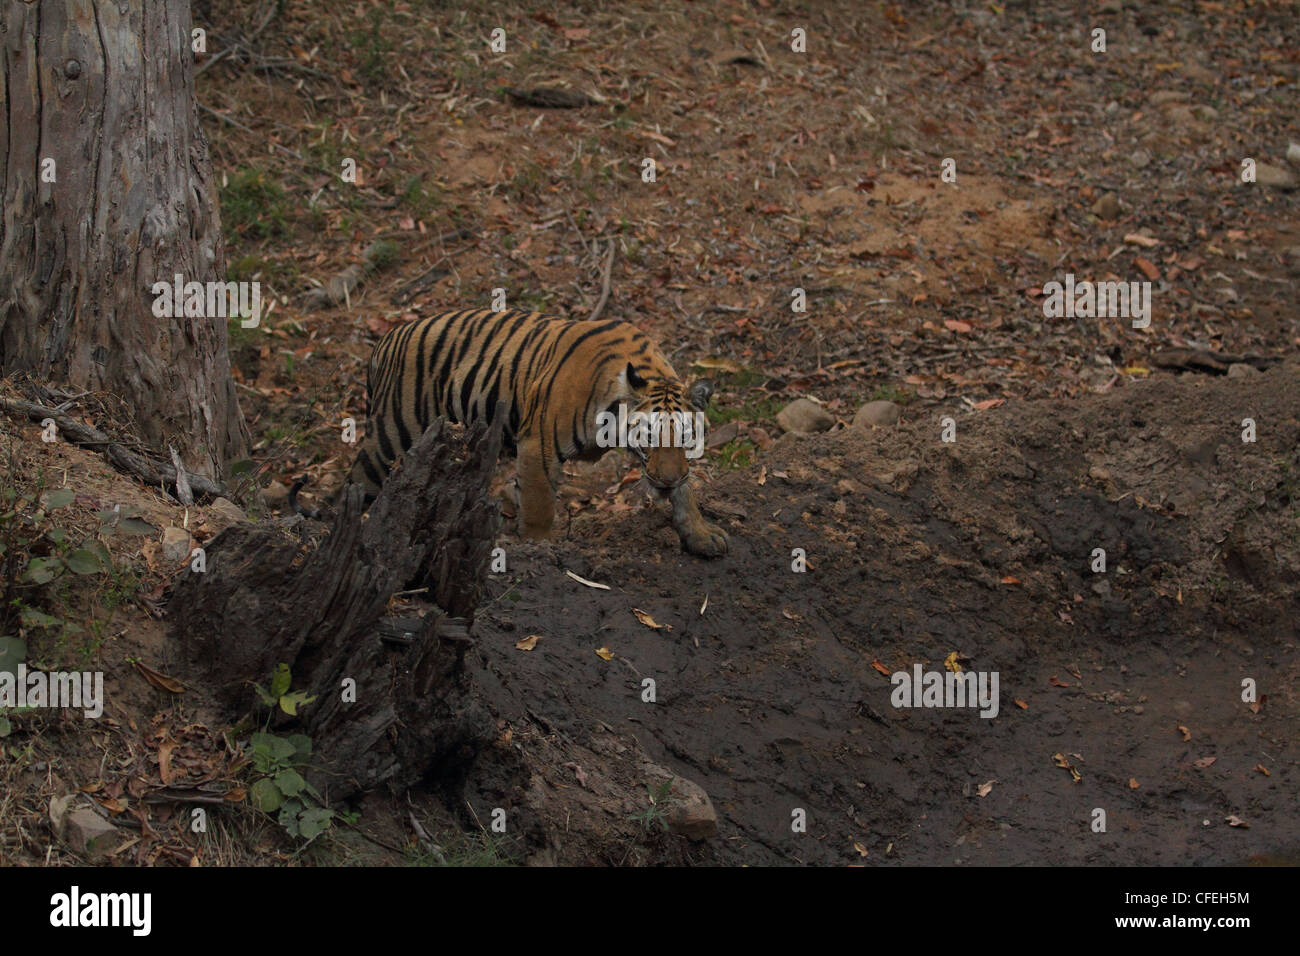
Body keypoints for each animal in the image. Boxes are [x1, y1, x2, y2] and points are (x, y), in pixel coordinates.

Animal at [295, 308, 729, 558]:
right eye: (649, 439)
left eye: (686, 439)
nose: (666, 482)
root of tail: (383, 341)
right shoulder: (538, 442)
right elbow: (539, 504)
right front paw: (539, 546)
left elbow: (689, 491)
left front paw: (701, 534)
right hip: (391, 434)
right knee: (356, 485)